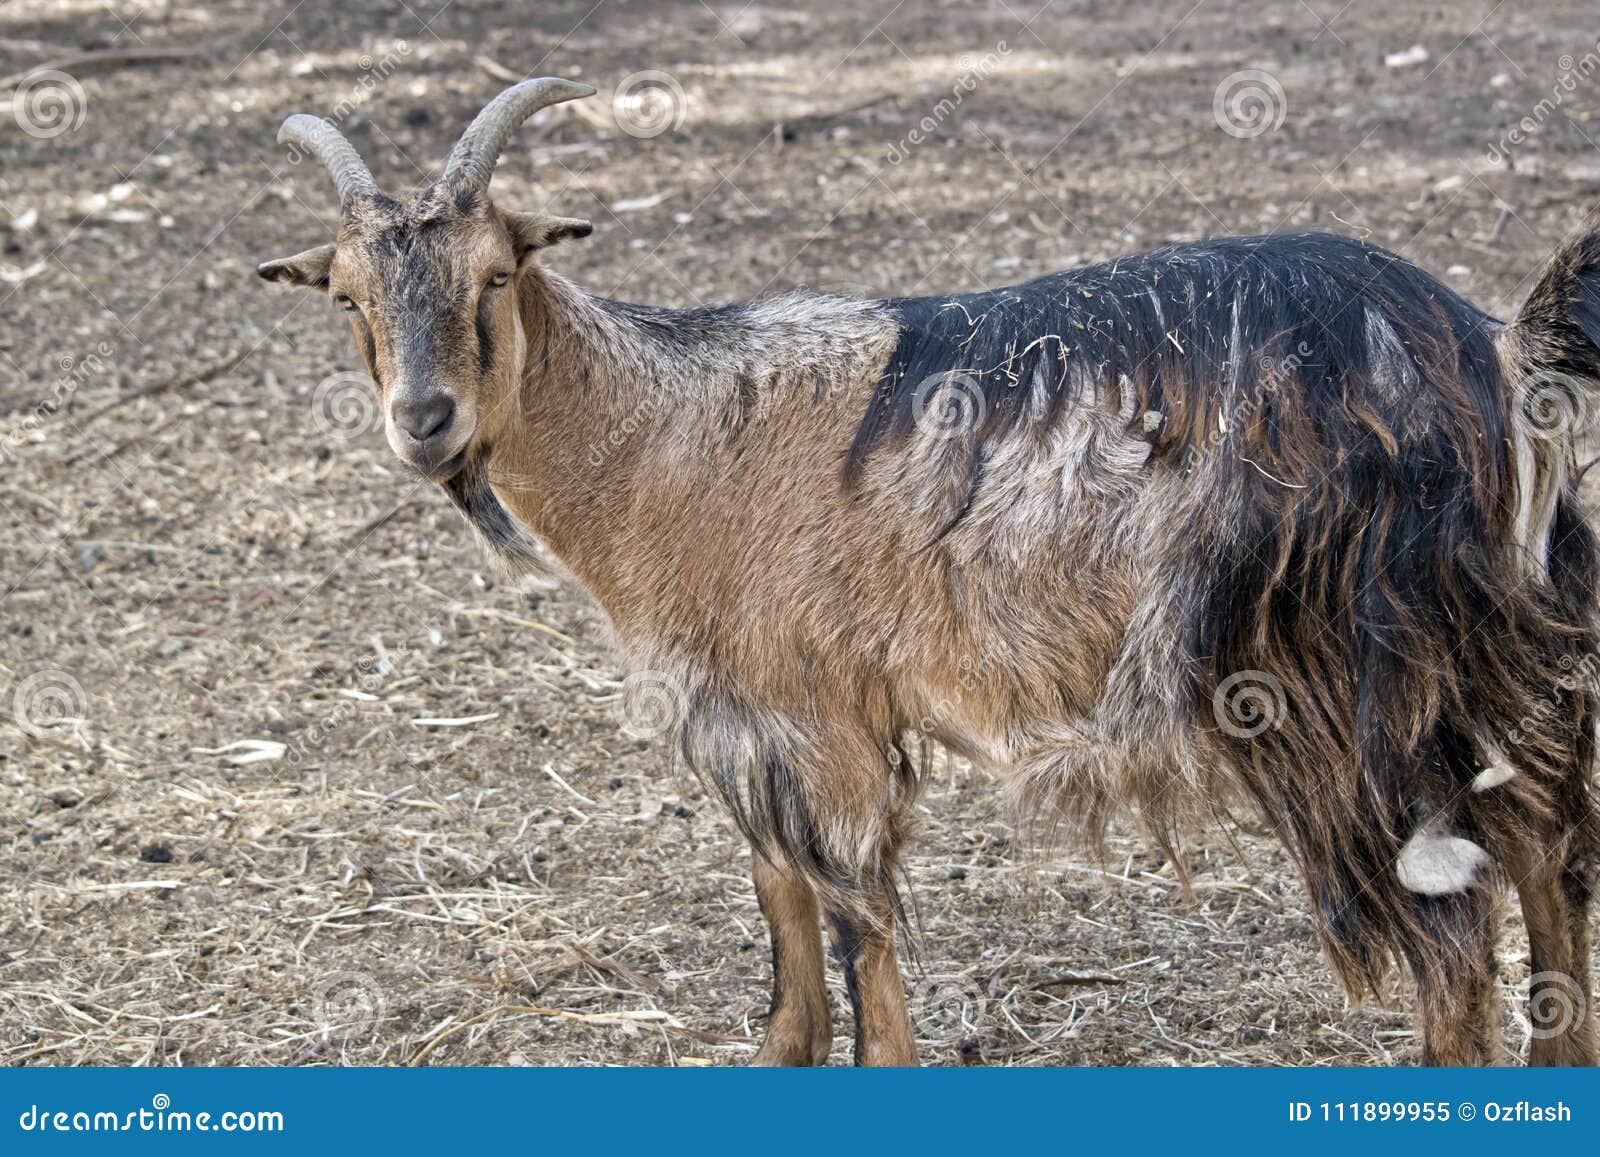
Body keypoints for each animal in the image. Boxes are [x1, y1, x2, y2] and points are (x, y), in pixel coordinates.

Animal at [260, 79, 1600, 1066]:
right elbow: (781, 905)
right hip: (1492, 644)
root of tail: (1494, 353)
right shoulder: (750, 716)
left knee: (1454, 933)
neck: (671, 436)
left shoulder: (821, 717)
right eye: (348, 296)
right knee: (1545, 840)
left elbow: (856, 918)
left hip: (1333, 687)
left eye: (496, 273)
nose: (424, 420)